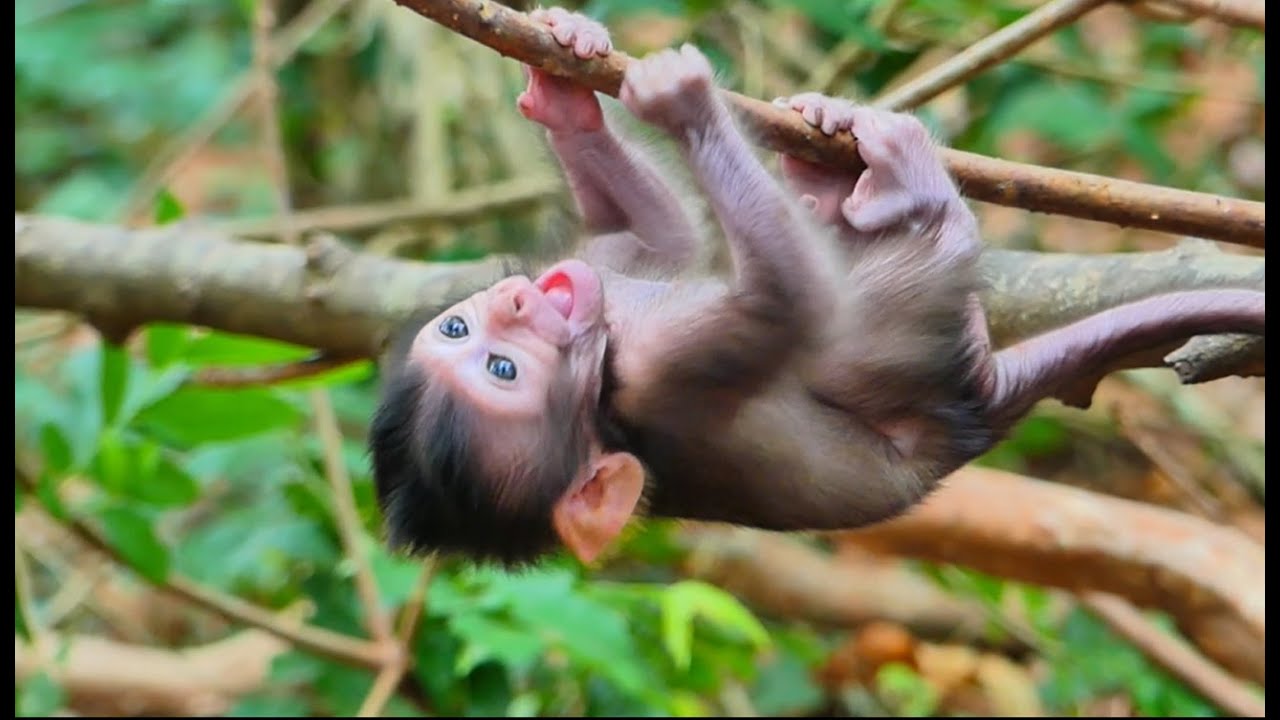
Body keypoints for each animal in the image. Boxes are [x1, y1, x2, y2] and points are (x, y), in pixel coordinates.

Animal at [368, 8, 1265, 569]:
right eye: (503, 372)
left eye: (465, 337)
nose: (514, 302)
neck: (608, 354)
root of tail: (974, 412)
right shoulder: (660, 372)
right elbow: (788, 303)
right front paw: (684, 103)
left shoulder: (610, 281)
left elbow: (665, 239)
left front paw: (564, 78)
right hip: (913, 331)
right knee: (874, 291)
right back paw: (907, 191)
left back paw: (826, 160)